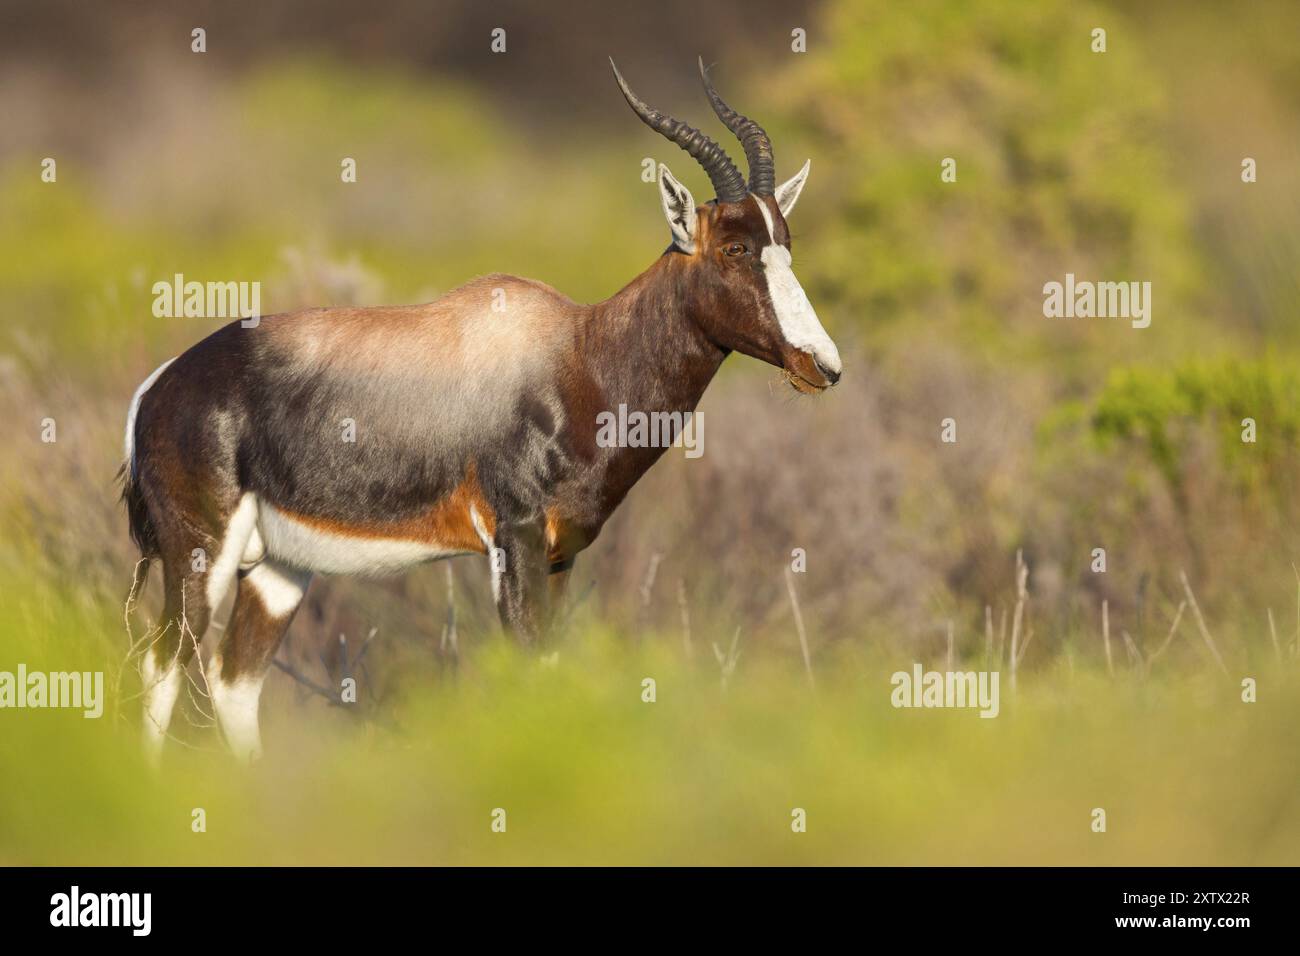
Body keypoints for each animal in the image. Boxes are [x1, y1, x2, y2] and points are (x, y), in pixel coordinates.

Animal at [122, 57, 842, 763]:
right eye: (734, 248)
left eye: (785, 242)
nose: (823, 365)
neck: (577, 353)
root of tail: (157, 388)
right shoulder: (512, 539)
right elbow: (524, 672)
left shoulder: (560, 555)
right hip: (200, 552)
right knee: (161, 664)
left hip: (278, 567)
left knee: (233, 680)